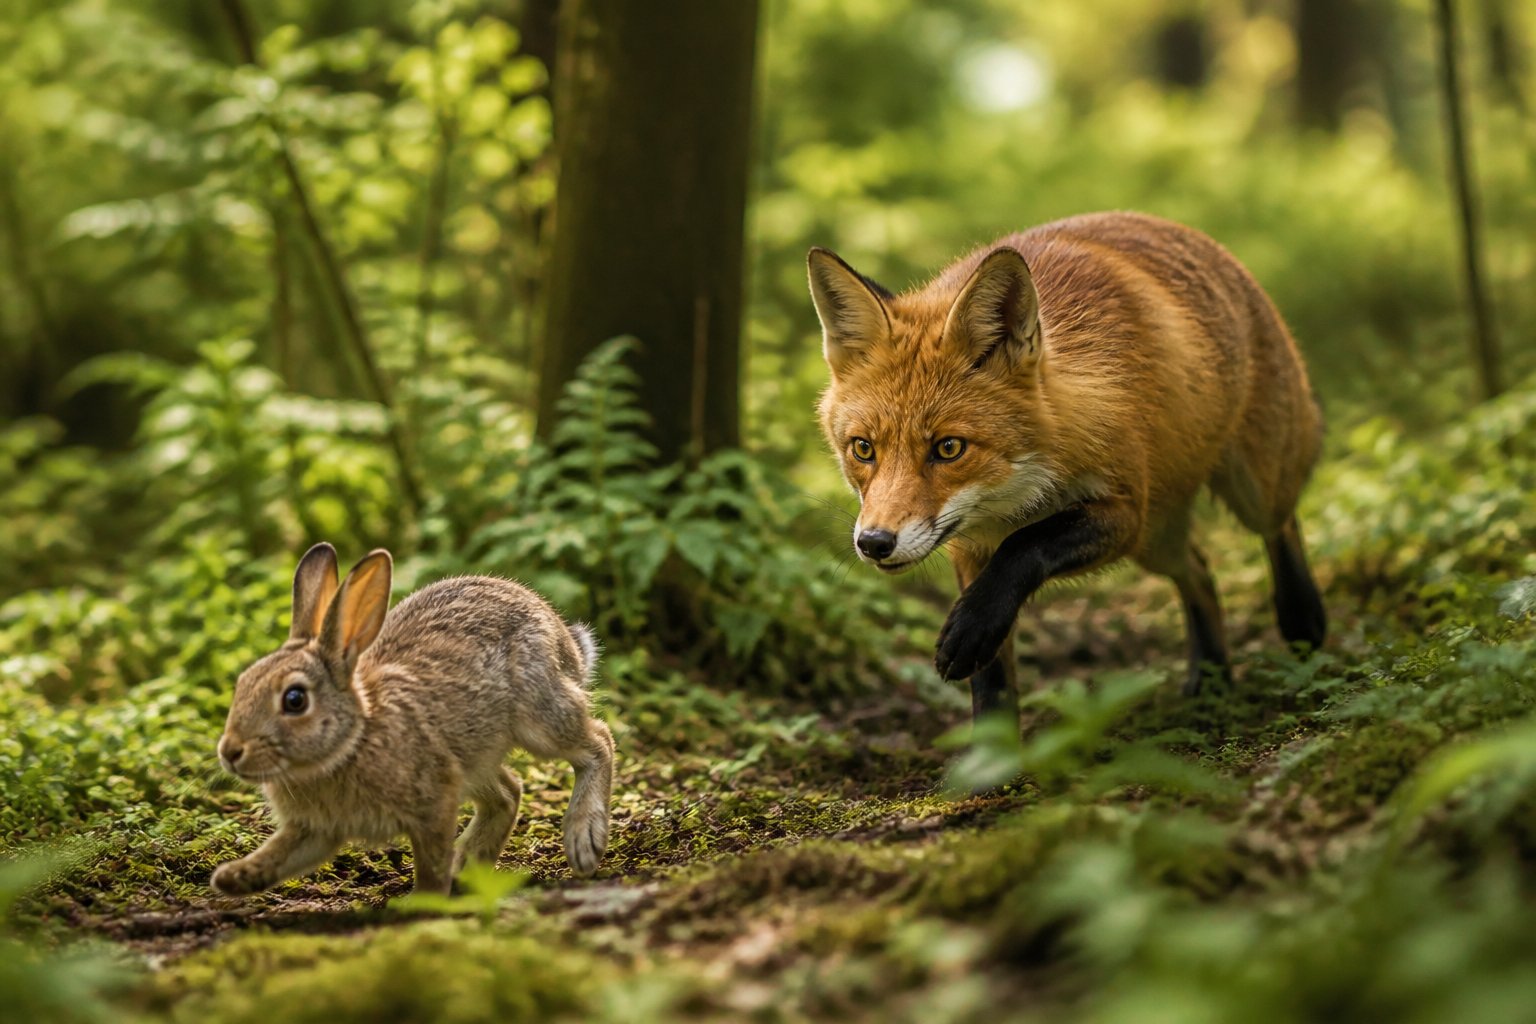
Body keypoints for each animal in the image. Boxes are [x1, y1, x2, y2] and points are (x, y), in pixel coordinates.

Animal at [211, 542, 614, 896]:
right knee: (508, 792)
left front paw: (423, 901)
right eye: (242, 683)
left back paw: (583, 839)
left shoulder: (433, 804)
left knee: (598, 741)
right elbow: (281, 854)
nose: (230, 752)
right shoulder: (316, 829)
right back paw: (467, 866)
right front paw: (233, 878)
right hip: (472, 755)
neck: (351, 742)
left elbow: (430, 863)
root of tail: (566, 642)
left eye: (295, 700)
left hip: (538, 716)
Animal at [807, 211, 1327, 726]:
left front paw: (970, 629)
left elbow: (1026, 546)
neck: (1017, 495)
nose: (874, 543)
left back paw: (1303, 622)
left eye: (949, 448)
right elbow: (993, 685)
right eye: (863, 449)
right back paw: (1212, 677)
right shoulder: (971, 547)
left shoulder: (1126, 510)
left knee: (1280, 526)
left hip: (1246, 492)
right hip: (1159, 539)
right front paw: (993, 750)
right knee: (1198, 569)